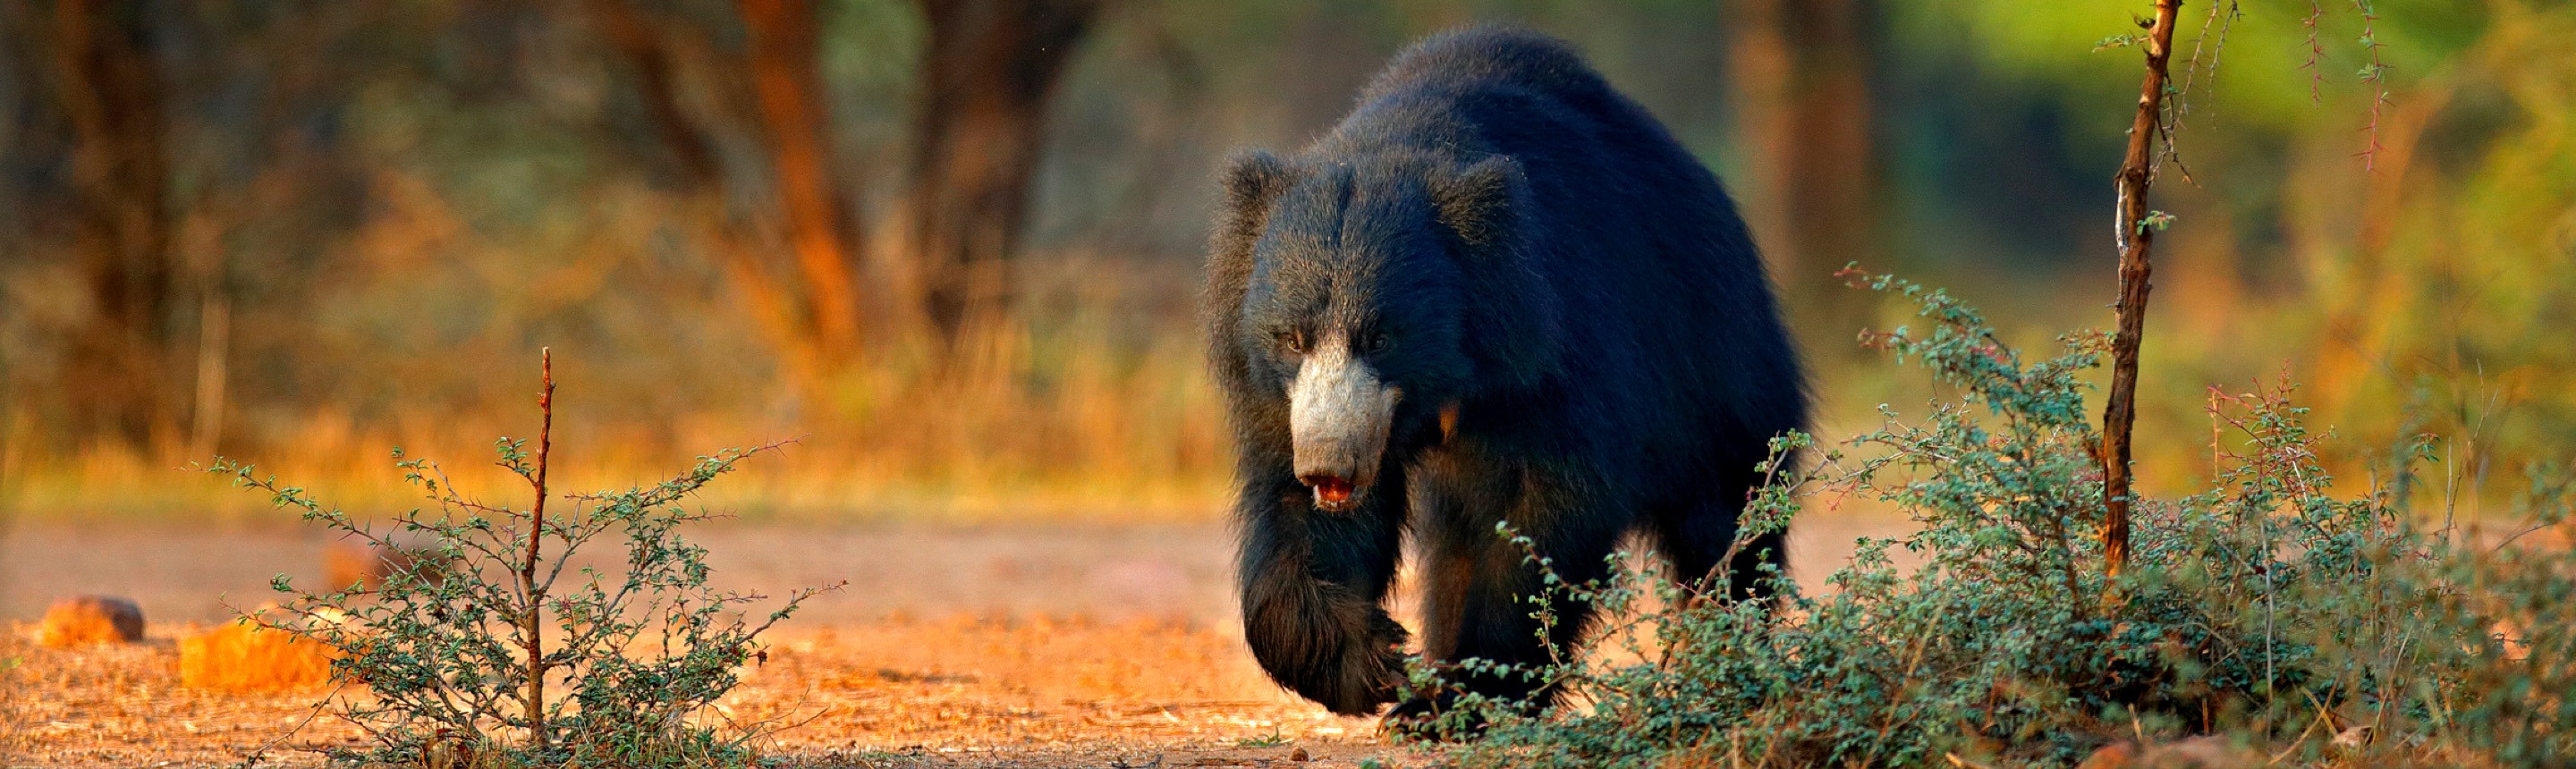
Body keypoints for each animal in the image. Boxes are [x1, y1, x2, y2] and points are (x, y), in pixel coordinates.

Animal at [1203, 26, 1809, 724]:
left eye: (1381, 337)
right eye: (1292, 338)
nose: (1330, 464)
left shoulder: (1557, 348)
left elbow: (1542, 511)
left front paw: (1467, 696)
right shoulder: (1284, 398)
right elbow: (1295, 516)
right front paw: (1376, 663)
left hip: (1714, 359)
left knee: (1727, 511)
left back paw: (1725, 659)